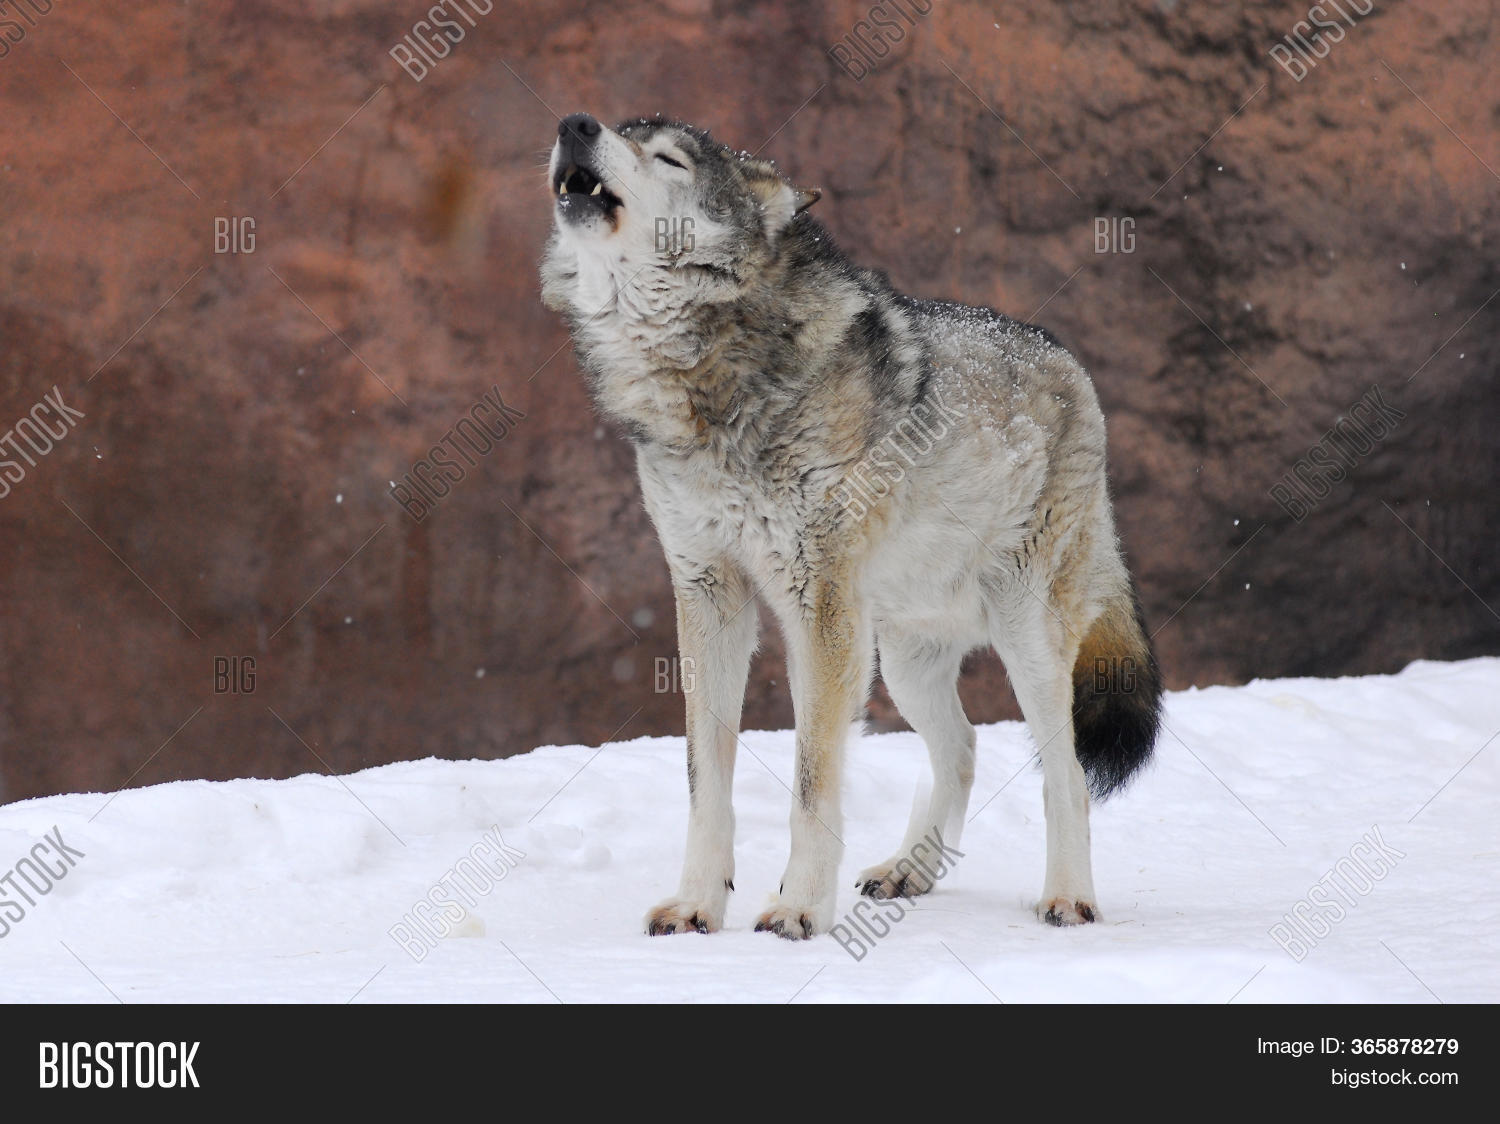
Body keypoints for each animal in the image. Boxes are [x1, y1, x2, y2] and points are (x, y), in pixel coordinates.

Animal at [539, 112, 1162, 940]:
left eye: (668, 158)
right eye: (618, 128)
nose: (575, 124)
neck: (707, 378)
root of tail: (1073, 368)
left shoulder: (820, 604)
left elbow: (812, 781)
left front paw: (797, 909)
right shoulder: (708, 591)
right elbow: (706, 780)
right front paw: (697, 906)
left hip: (1023, 636)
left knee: (1066, 776)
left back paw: (1068, 897)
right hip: (899, 657)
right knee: (964, 748)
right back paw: (910, 871)